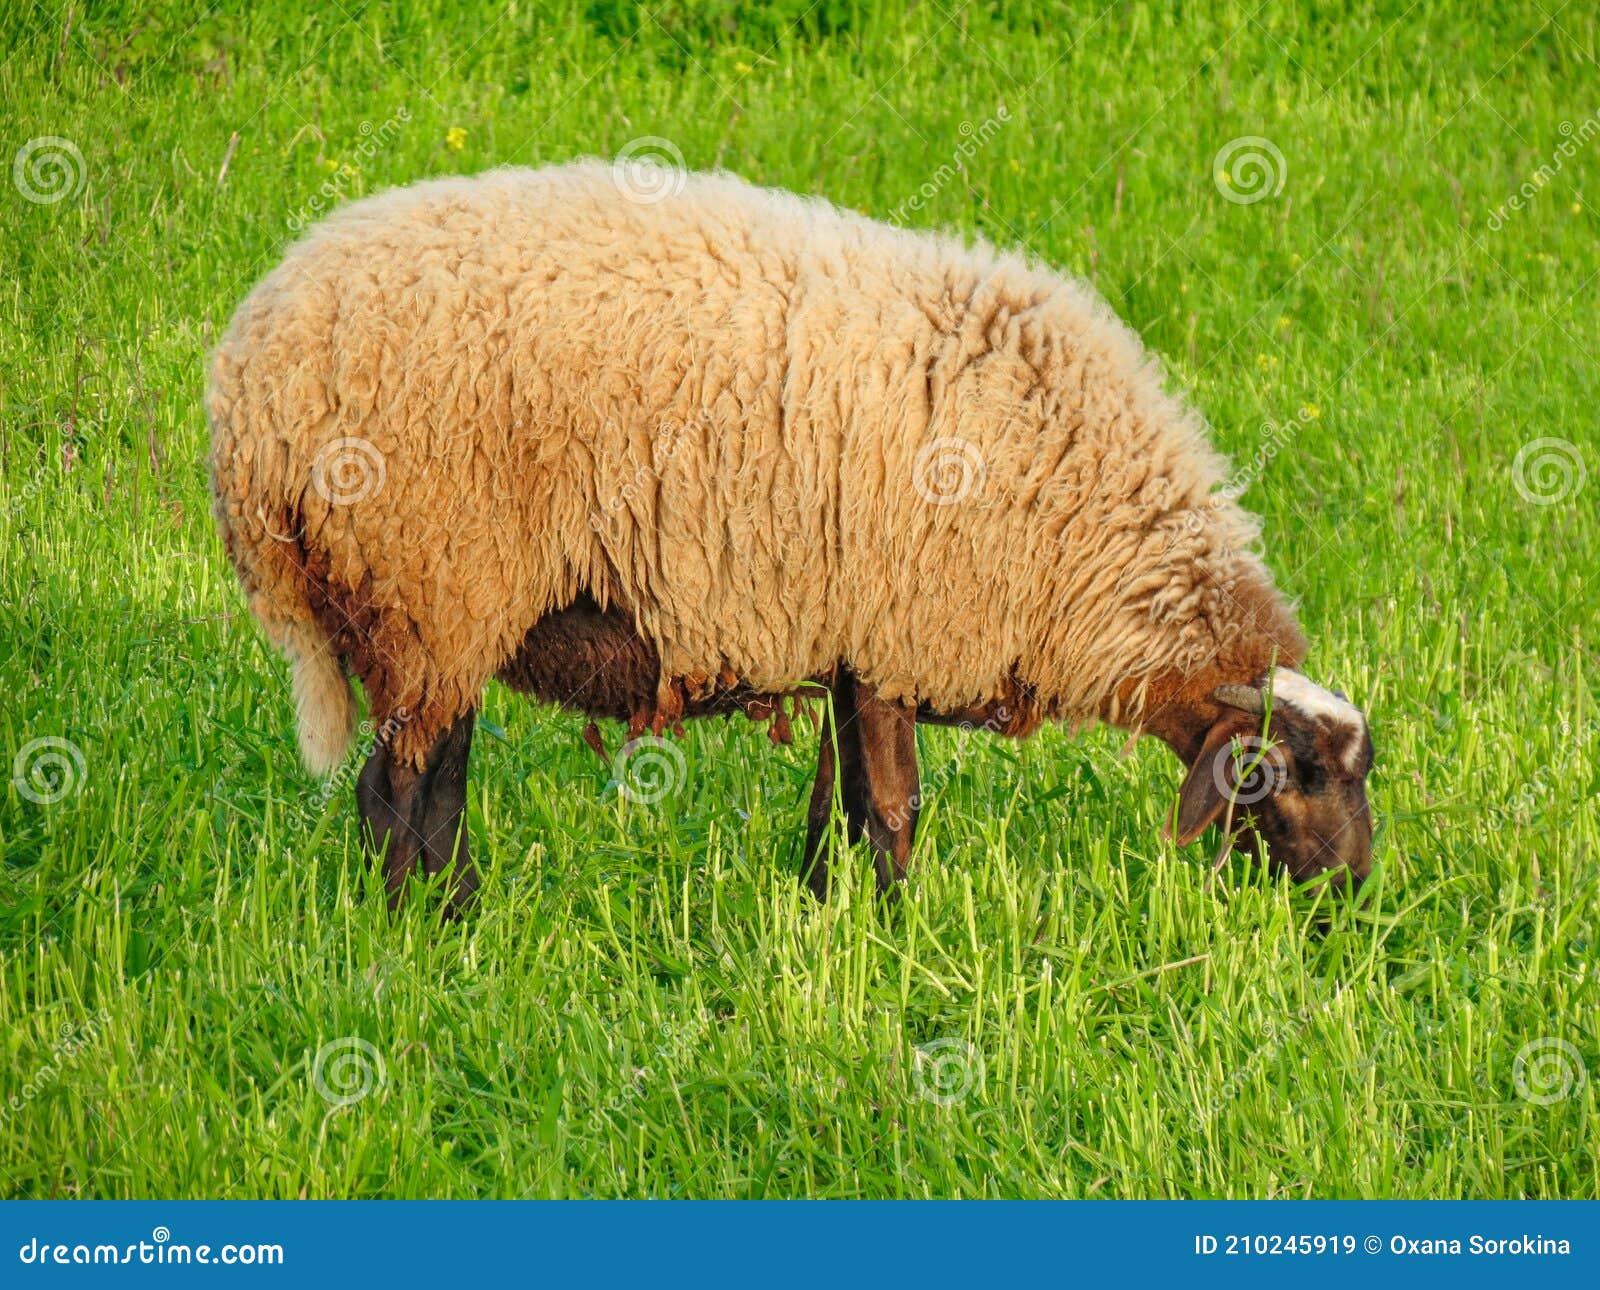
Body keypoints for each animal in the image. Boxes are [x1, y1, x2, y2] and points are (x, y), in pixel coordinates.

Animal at [208, 160, 1374, 914]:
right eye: (1293, 777)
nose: (1354, 903)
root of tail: (251, 381)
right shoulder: (902, 627)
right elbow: (894, 810)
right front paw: (902, 934)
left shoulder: (854, 636)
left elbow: (839, 805)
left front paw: (827, 912)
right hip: (436, 581)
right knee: (403, 794)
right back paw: (433, 931)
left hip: (415, 605)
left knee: (416, 784)